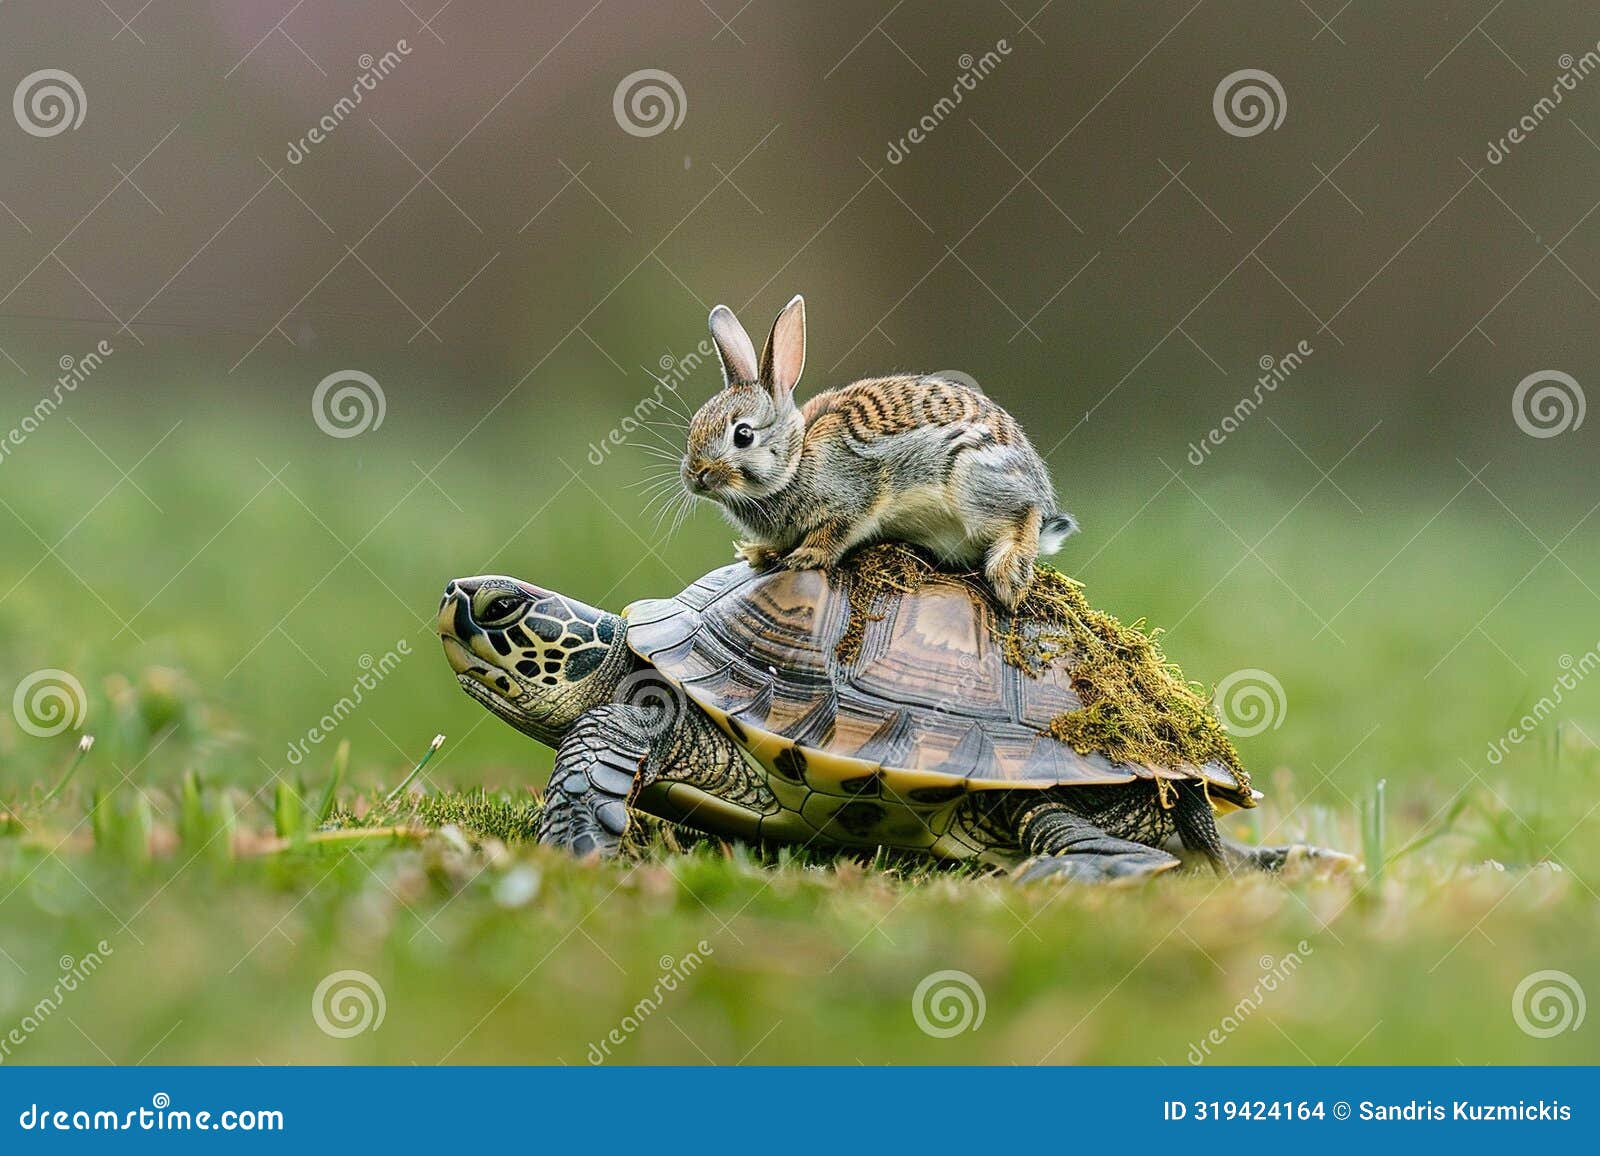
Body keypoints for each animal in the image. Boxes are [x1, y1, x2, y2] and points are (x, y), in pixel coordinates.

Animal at [681, 294, 1077, 609]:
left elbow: (836, 532)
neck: (796, 461)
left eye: (743, 435)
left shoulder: (852, 500)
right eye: (693, 426)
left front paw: (806, 556)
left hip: (974, 480)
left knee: (1022, 515)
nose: (695, 476)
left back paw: (1008, 577)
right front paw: (758, 553)